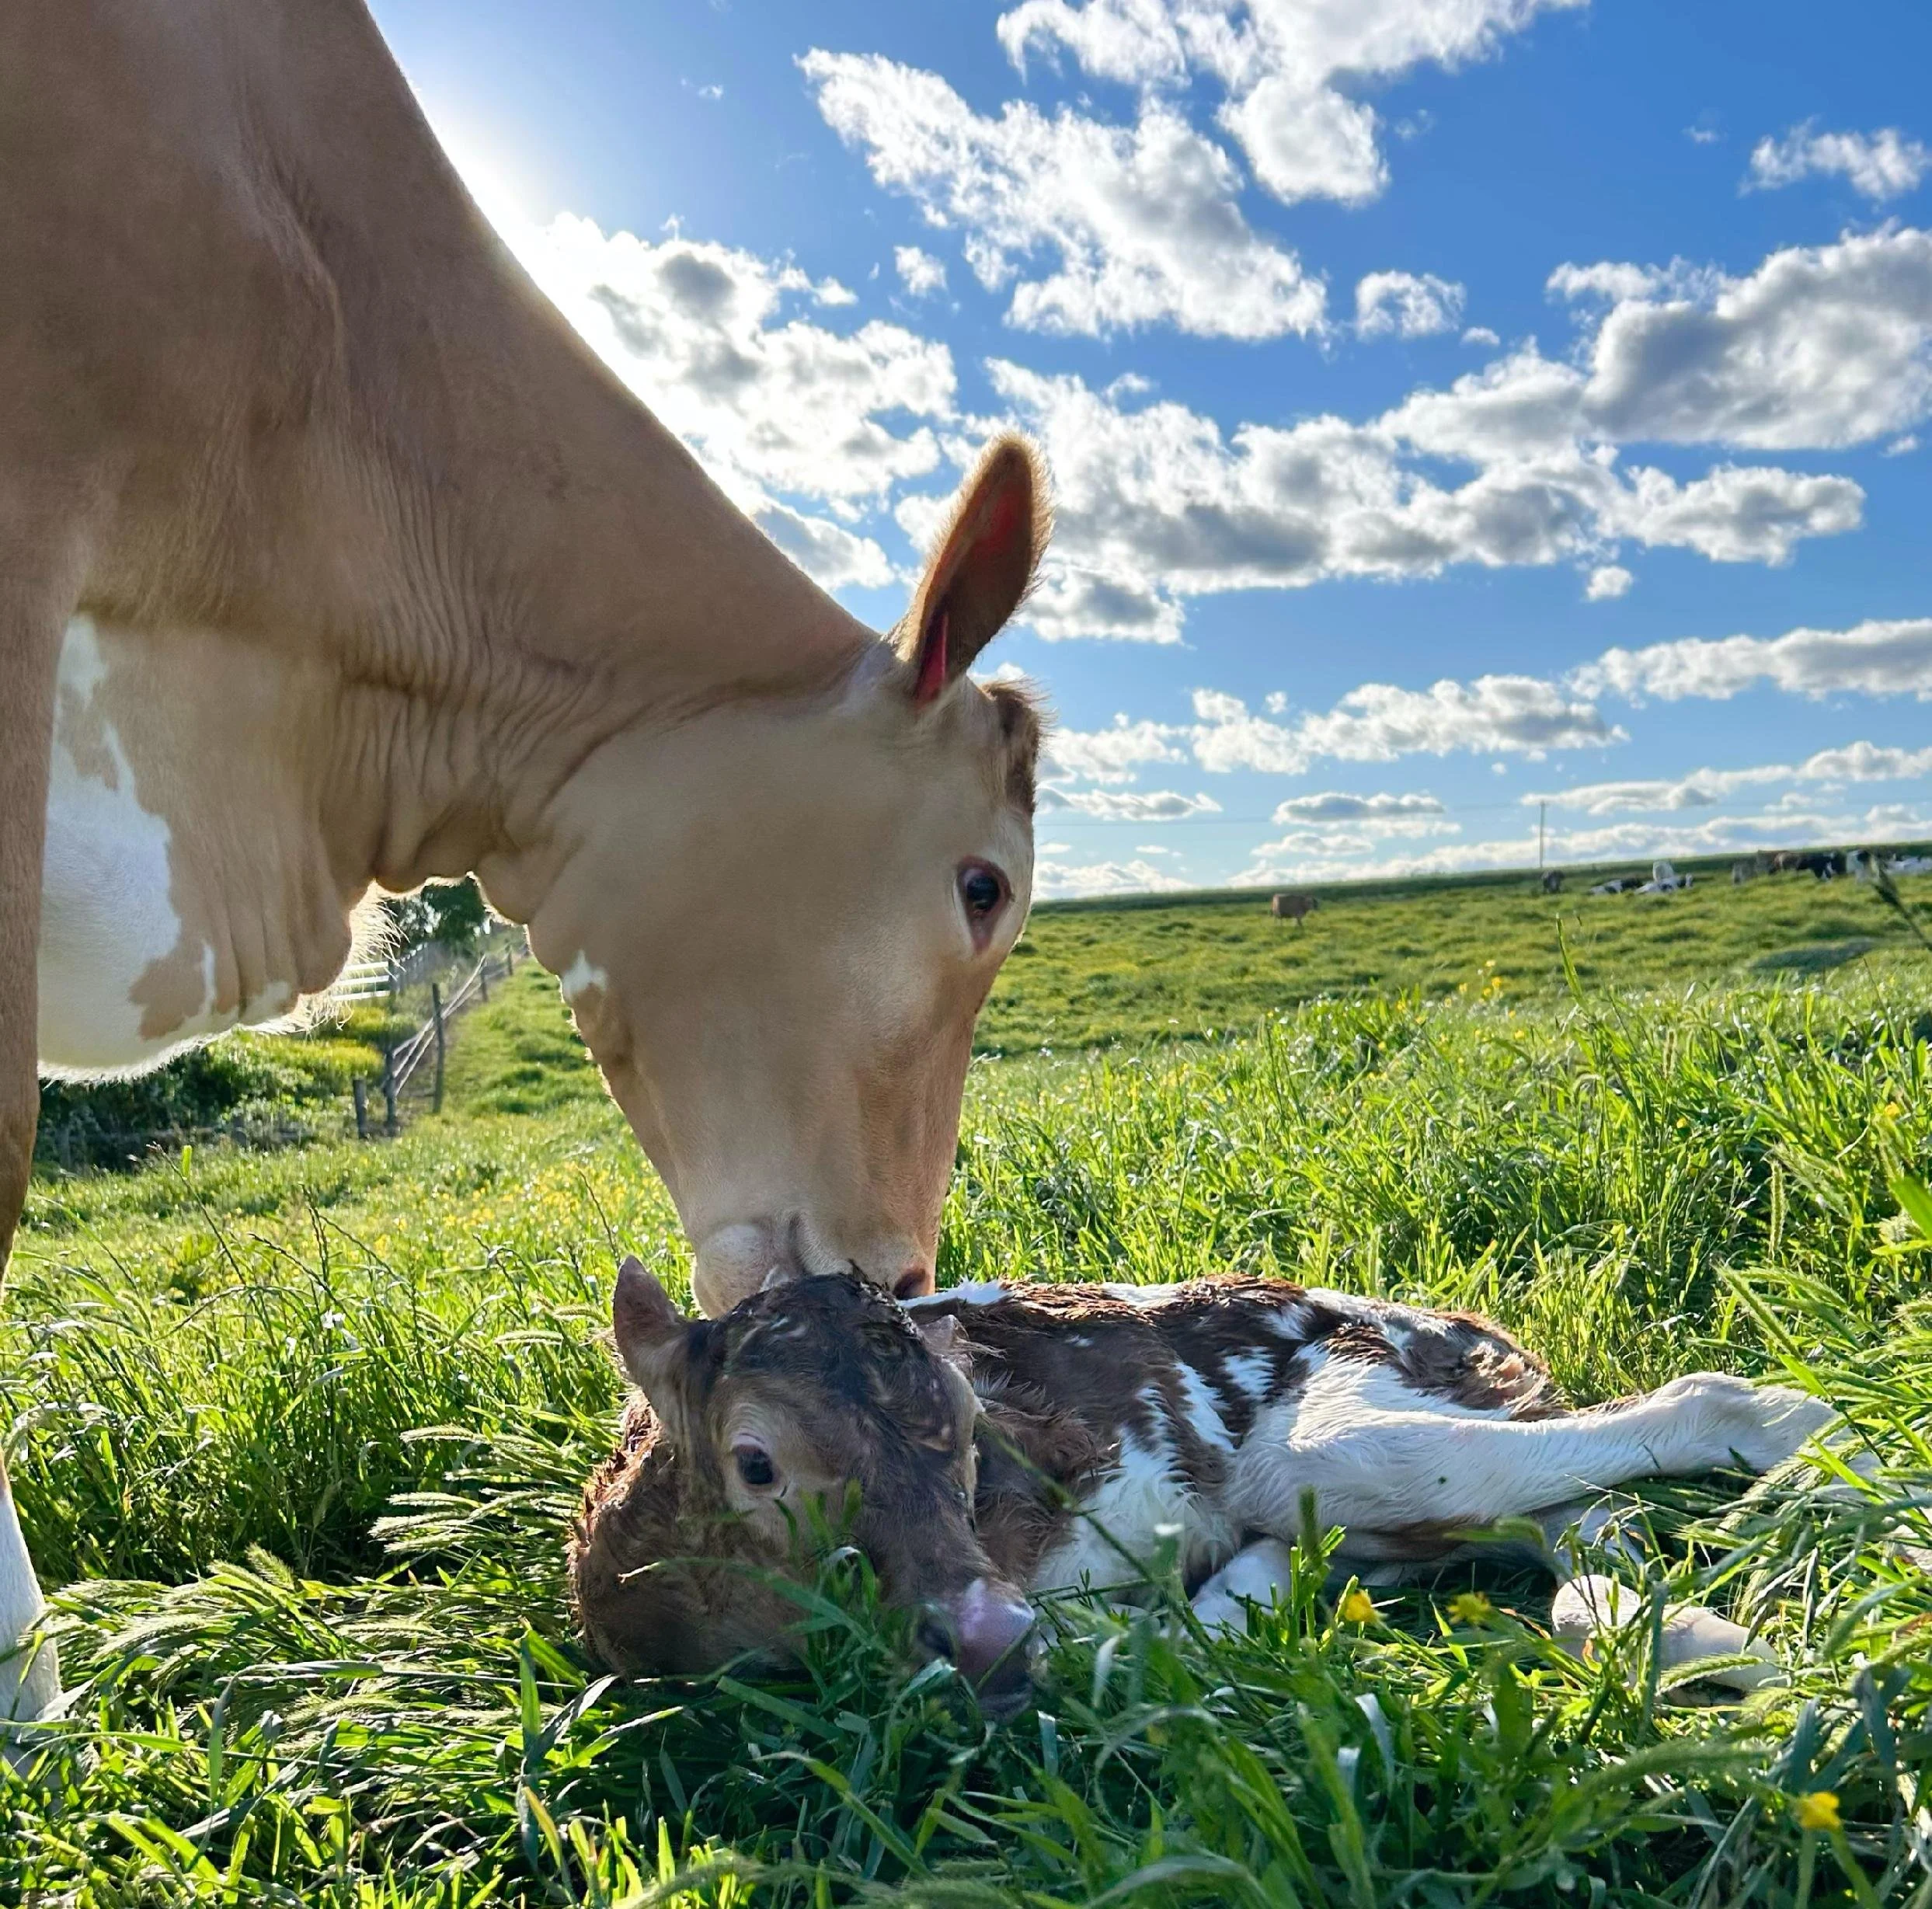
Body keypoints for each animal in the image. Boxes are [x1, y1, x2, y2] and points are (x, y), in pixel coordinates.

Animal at [570, 1264, 1833, 1712]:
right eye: (757, 1460)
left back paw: (1843, 1479)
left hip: (1337, 1438)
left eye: (972, 1427)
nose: (984, 1631)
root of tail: (1470, 1330)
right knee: (1567, 1528)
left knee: (1706, 1404)